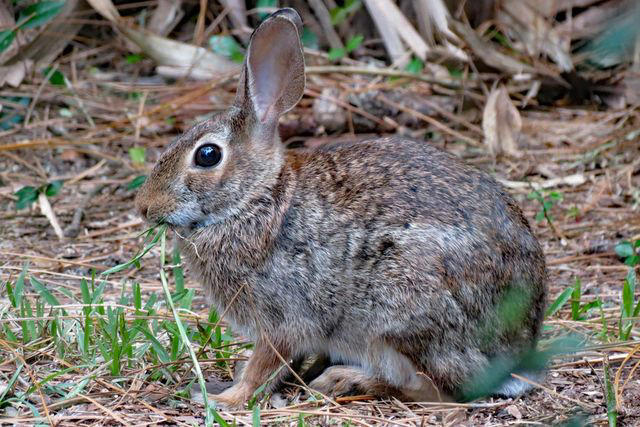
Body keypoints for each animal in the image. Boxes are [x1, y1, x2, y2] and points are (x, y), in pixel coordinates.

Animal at [135, 8, 547, 409]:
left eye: (207, 155)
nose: (145, 207)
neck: (258, 199)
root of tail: (518, 352)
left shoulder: (283, 318)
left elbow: (265, 364)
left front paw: (227, 397)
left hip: (400, 311)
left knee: (433, 389)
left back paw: (345, 379)